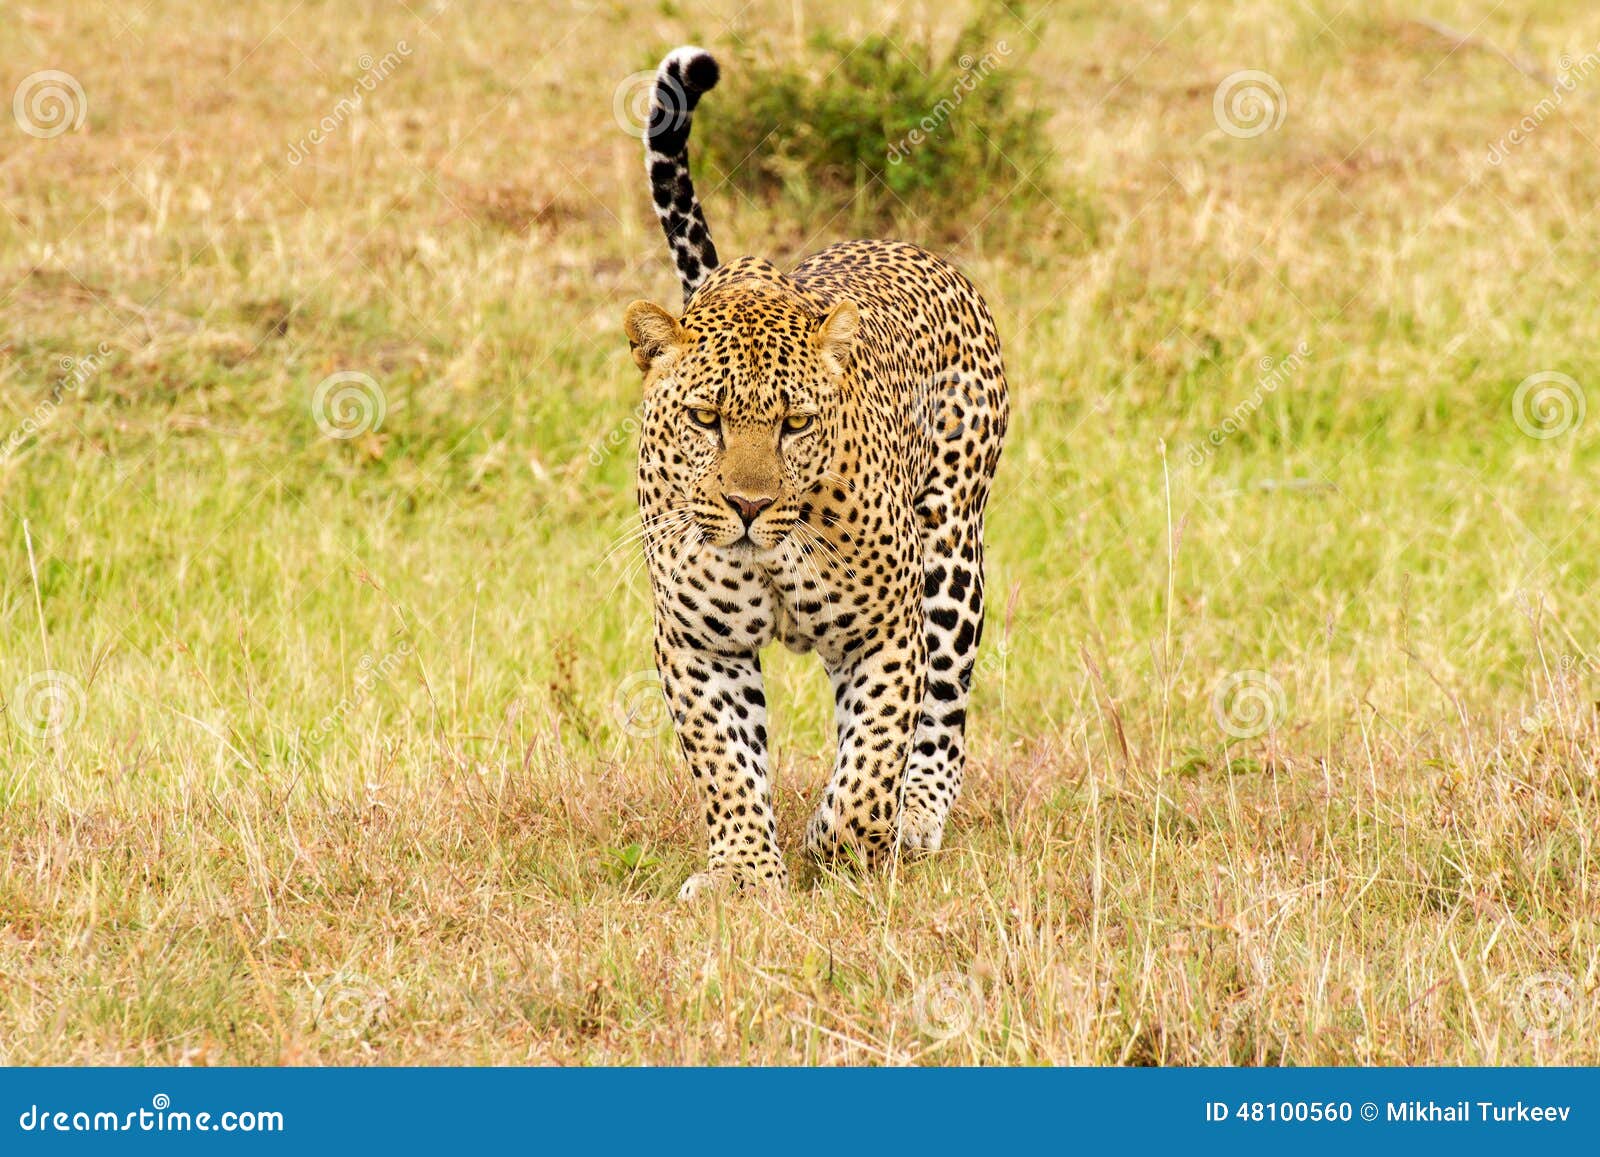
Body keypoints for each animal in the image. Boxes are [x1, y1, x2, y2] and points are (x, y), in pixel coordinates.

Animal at [622, 46, 1009, 899]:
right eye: (706, 418)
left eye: (796, 423)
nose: (746, 505)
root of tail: (911, 248)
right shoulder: (699, 644)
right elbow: (727, 763)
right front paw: (743, 871)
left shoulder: (885, 630)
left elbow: (872, 758)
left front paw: (841, 837)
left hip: (952, 549)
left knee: (943, 706)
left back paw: (917, 814)